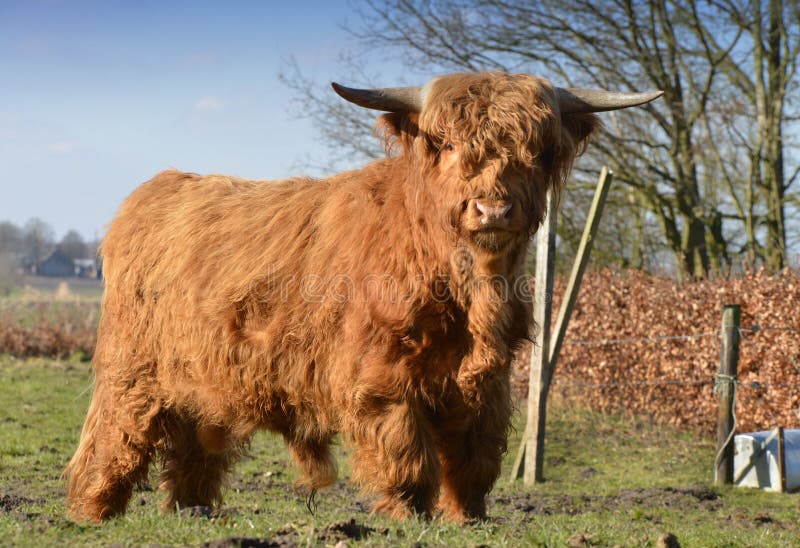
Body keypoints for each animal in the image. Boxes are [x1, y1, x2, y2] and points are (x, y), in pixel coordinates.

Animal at [65, 71, 661, 523]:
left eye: (535, 150)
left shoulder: (486, 383)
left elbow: (473, 458)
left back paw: (192, 512)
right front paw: (409, 515)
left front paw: (468, 518)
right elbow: (407, 453)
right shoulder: (383, 375)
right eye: (446, 144)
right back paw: (91, 513)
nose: (492, 209)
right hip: (132, 371)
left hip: (202, 378)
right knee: (113, 441)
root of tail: (158, 188)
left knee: (195, 447)